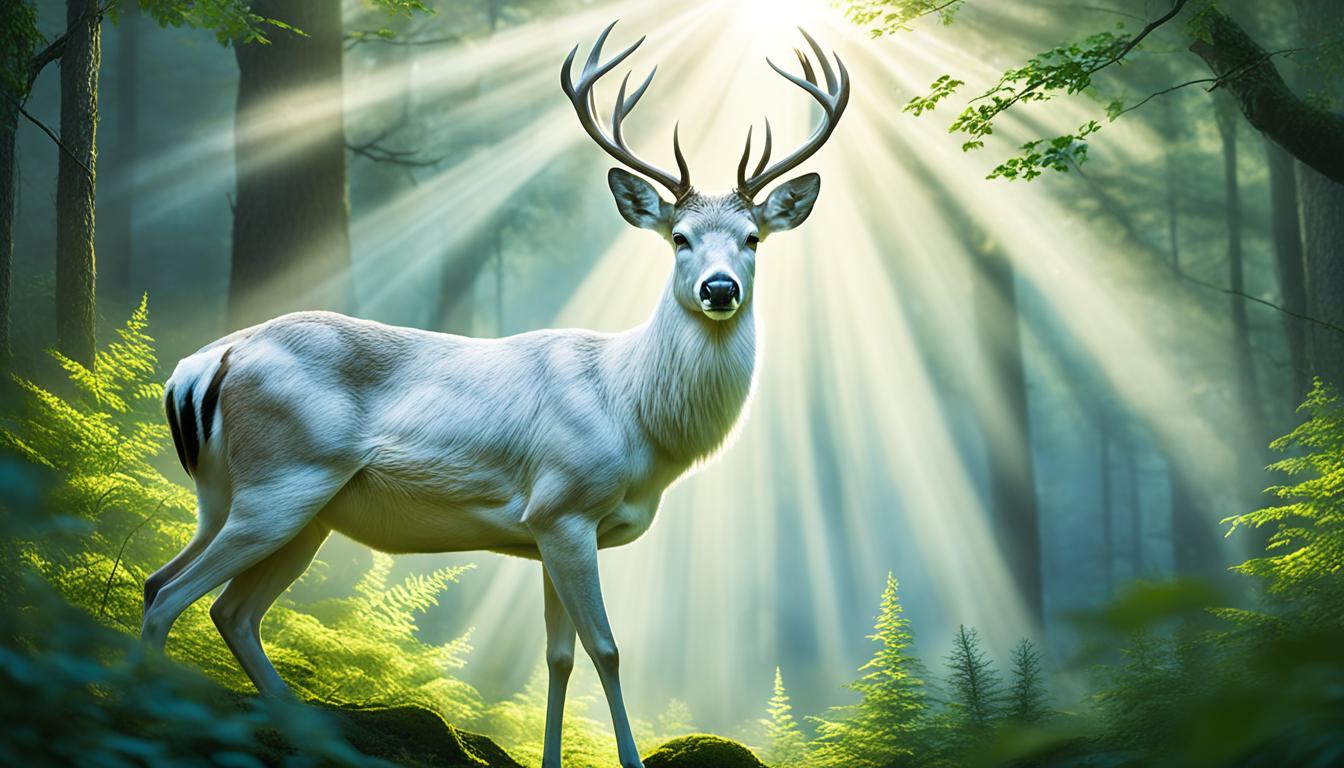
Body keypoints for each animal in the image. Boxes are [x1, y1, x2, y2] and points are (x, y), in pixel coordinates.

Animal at [142, 22, 848, 768]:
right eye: (679, 238)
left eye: (753, 239)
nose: (719, 288)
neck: (635, 418)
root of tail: (202, 364)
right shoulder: (564, 506)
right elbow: (606, 649)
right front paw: (628, 758)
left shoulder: (545, 532)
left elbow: (558, 657)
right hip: (282, 481)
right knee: (171, 595)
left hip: (268, 505)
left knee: (218, 605)